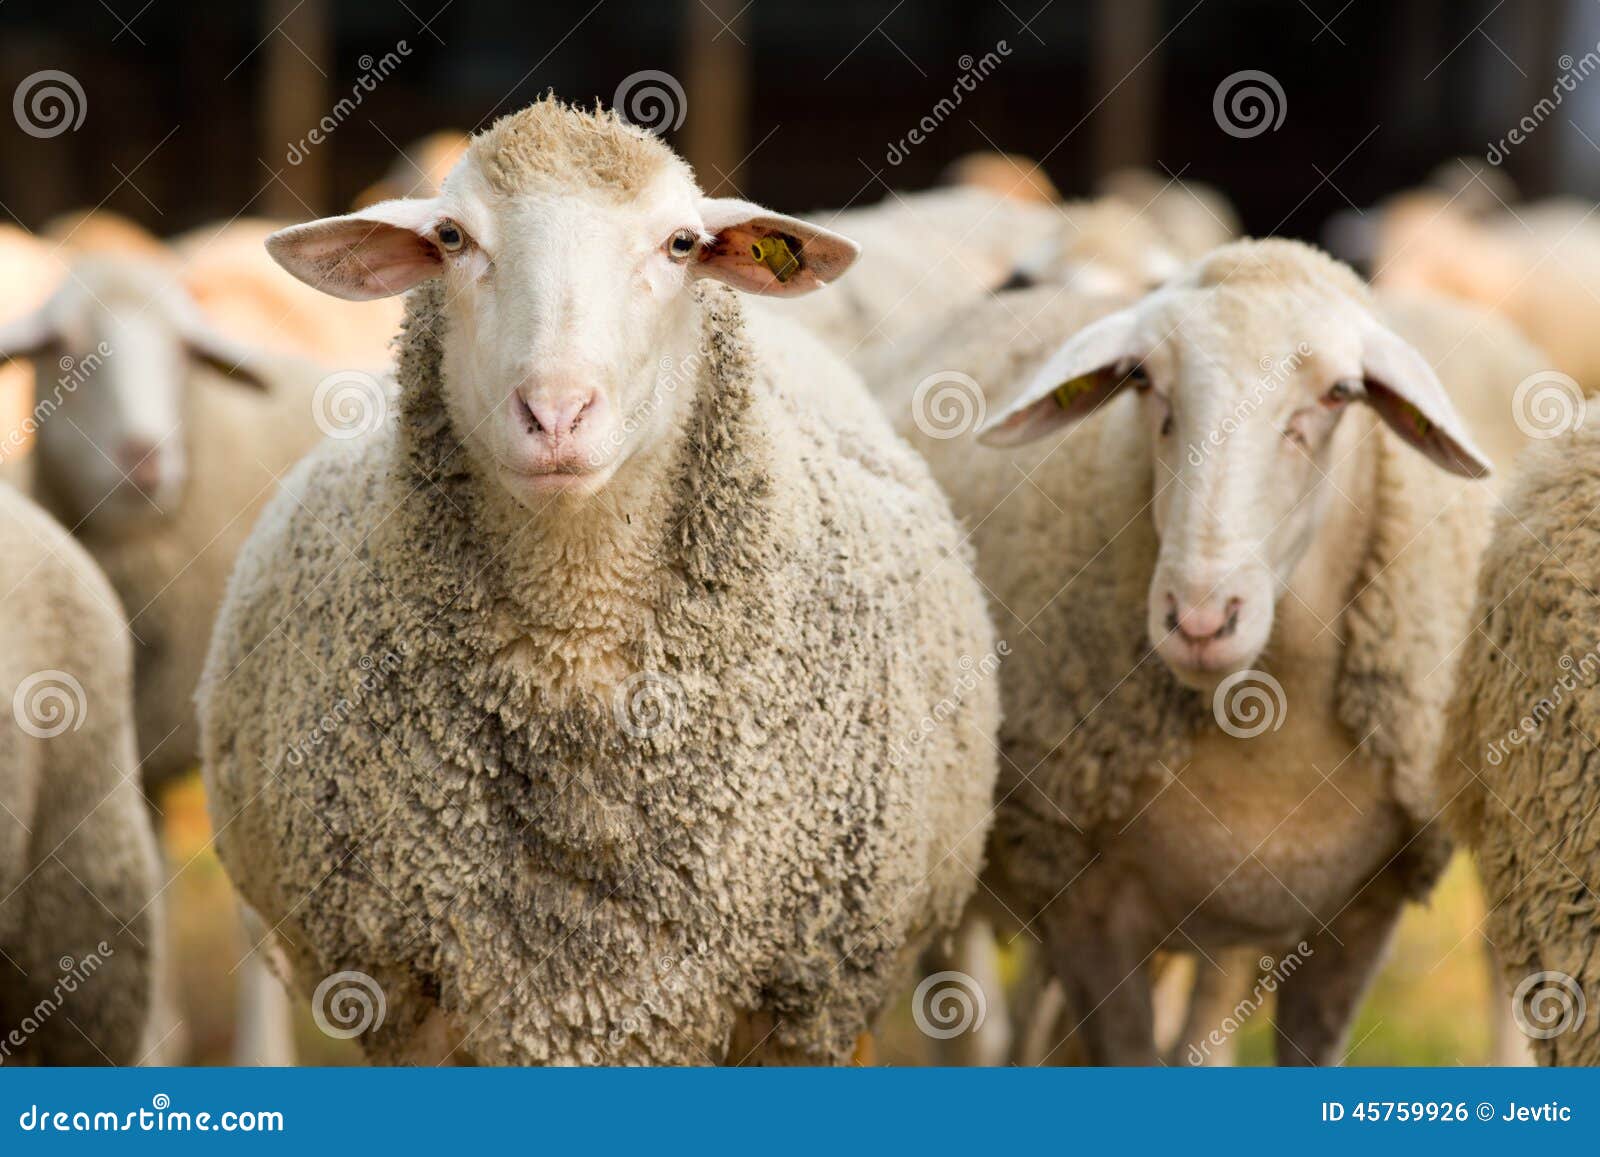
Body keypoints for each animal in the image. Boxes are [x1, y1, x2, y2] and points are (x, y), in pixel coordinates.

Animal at [197, 97, 1001, 1066]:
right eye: (454, 237)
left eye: (681, 243)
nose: (555, 412)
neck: (575, 641)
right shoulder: (408, 991)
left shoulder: (806, 1000)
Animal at [869, 239, 1495, 1065]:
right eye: (1142, 380)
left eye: (1340, 393)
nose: (1198, 617)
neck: (1269, 739)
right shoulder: (1086, 902)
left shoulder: (1358, 919)